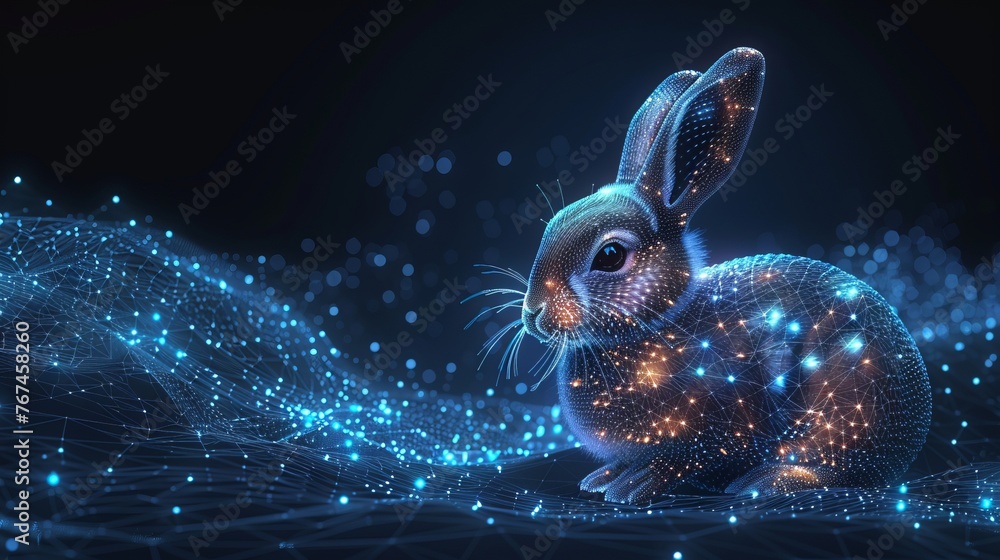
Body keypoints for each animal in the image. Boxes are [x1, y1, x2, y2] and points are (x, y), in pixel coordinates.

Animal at [517, 48, 931, 504]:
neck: (659, 324)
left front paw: (633, 488)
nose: (533, 313)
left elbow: (680, 459)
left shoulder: (713, 429)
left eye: (609, 256)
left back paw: (766, 481)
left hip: (846, 403)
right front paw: (602, 479)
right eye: (555, 222)